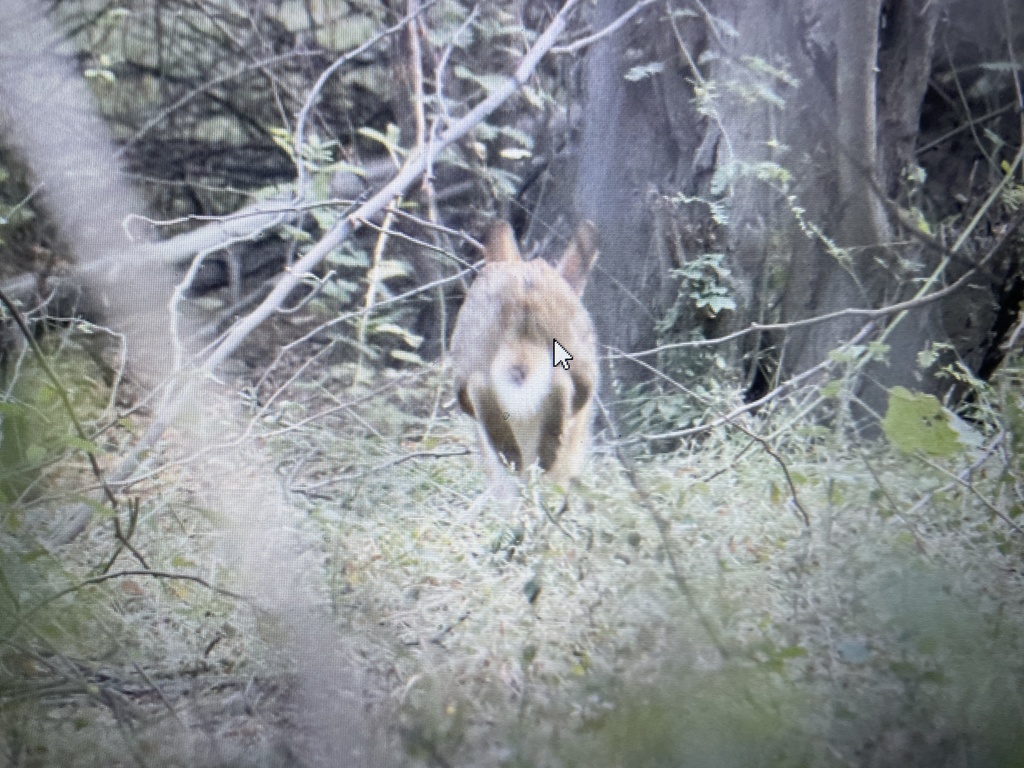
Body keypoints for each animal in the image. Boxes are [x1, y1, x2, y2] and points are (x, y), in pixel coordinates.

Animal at [450, 220, 598, 494]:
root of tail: (523, 297)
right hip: (577, 362)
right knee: (563, 385)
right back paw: (540, 458)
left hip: (472, 353)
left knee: (477, 385)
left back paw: (514, 457)